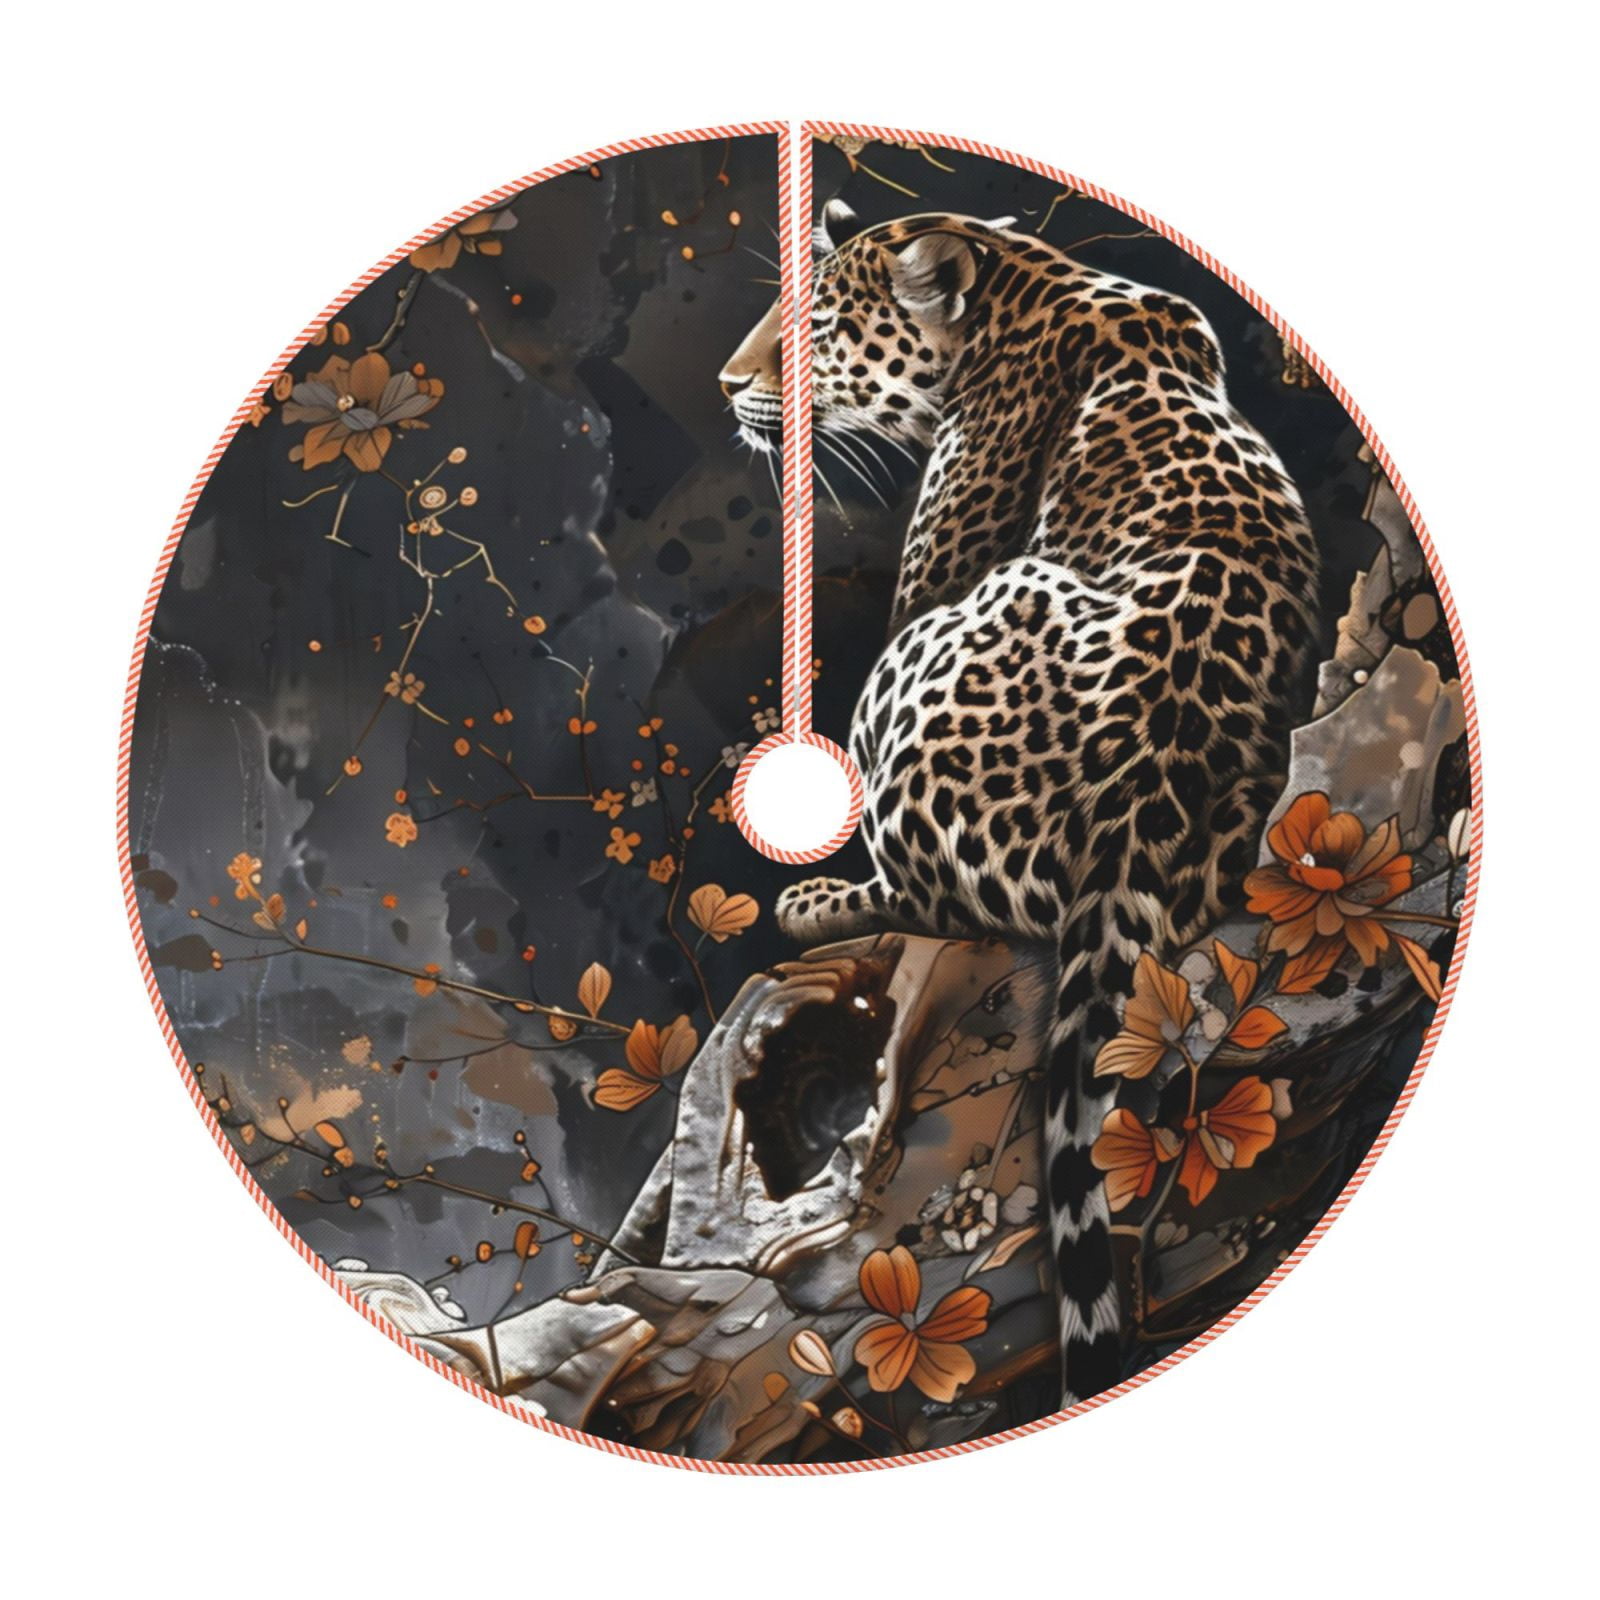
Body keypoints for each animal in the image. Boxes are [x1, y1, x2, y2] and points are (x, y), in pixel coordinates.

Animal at [718, 200, 1321, 1408]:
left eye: (817, 328)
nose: (724, 384)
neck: (1028, 281)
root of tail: (1139, 798)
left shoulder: (939, 559)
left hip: (933, 648)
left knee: (939, 899)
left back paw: (812, 904)